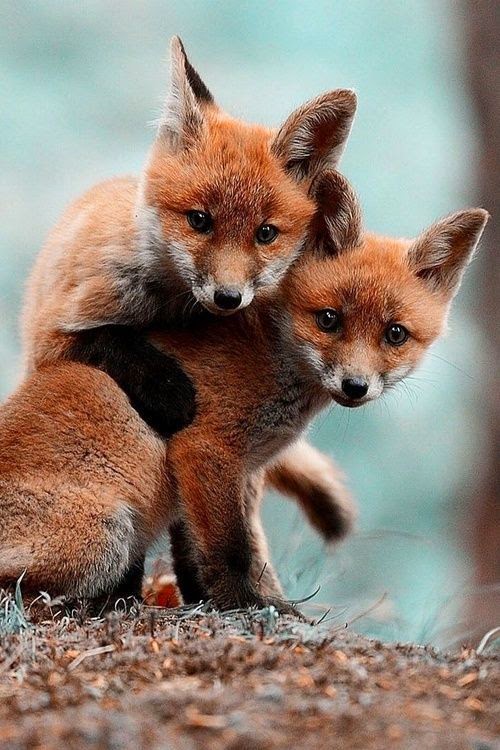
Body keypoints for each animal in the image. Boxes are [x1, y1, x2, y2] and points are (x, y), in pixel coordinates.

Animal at [1, 171, 488, 612]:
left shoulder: (242, 473)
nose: (355, 386)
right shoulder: (205, 451)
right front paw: (243, 604)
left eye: (395, 334)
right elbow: (230, 550)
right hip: (107, 535)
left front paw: (247, 602)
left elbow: (230, 553)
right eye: (329, 320)